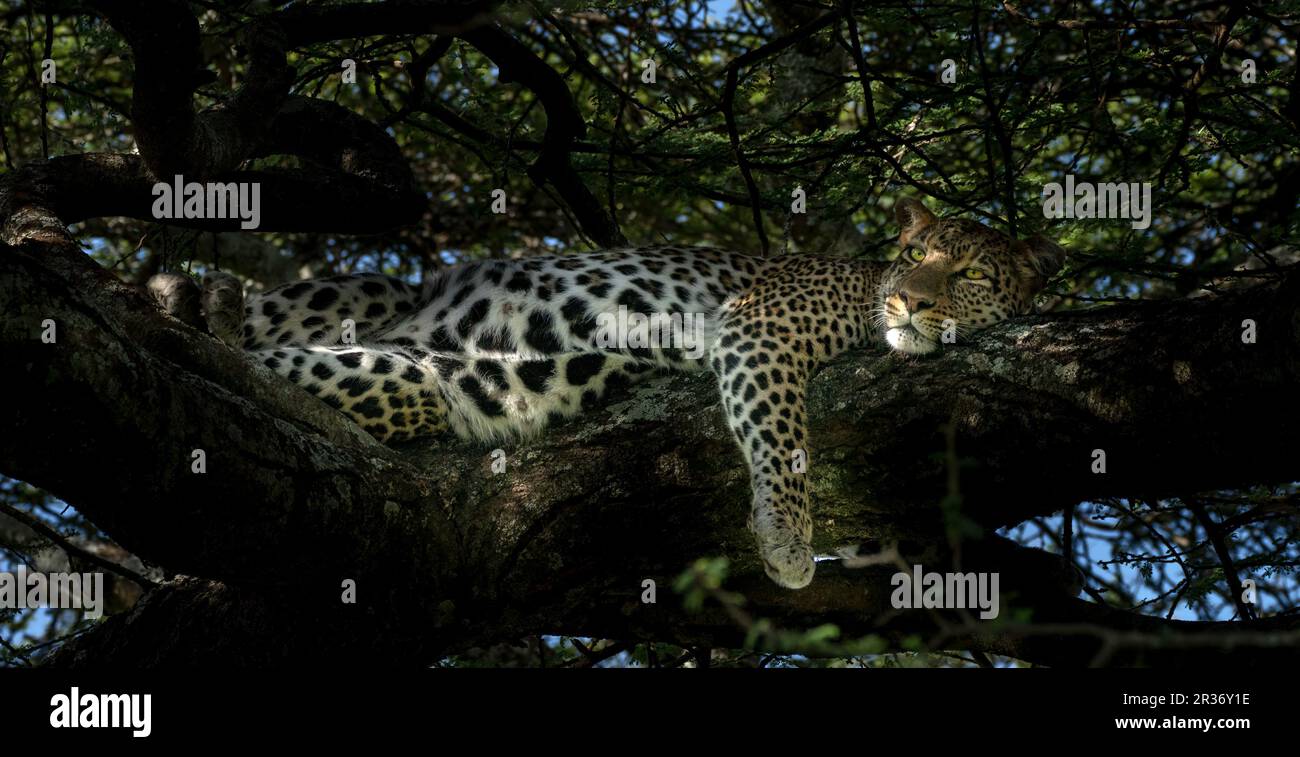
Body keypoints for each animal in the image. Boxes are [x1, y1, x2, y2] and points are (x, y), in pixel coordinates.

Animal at [148, 198, 1067, 589]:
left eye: (969, 274)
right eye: (913, 252)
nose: (910, 300)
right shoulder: (763, 323)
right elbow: (782, 432)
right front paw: (786, 537)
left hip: (433, 370)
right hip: (363, 294)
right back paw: (174, 303)